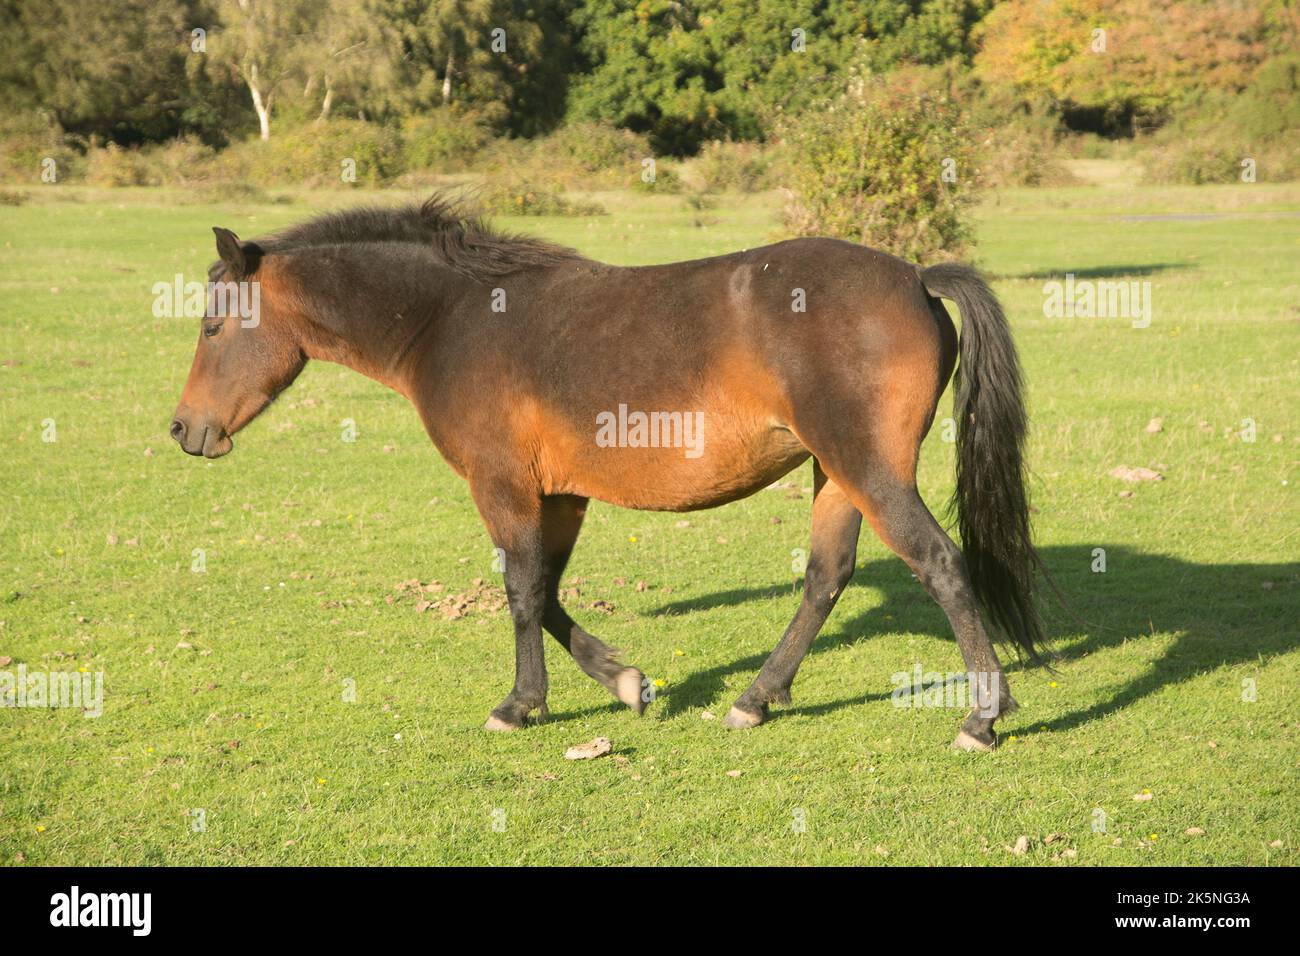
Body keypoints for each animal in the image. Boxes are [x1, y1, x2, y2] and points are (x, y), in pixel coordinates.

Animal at [170, 195, 1047, 751]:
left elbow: (522, 593)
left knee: (940, 564)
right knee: (826, 578)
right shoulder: (560, 497)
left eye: (213, 325)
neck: (453, 319)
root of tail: (915, 278)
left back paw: (981, 718)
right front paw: (627, 682)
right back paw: (755, 700)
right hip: (835, 475)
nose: (183, 430)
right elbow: (549, 593)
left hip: (866, 469)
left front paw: (520, 706)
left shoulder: (504, 488)